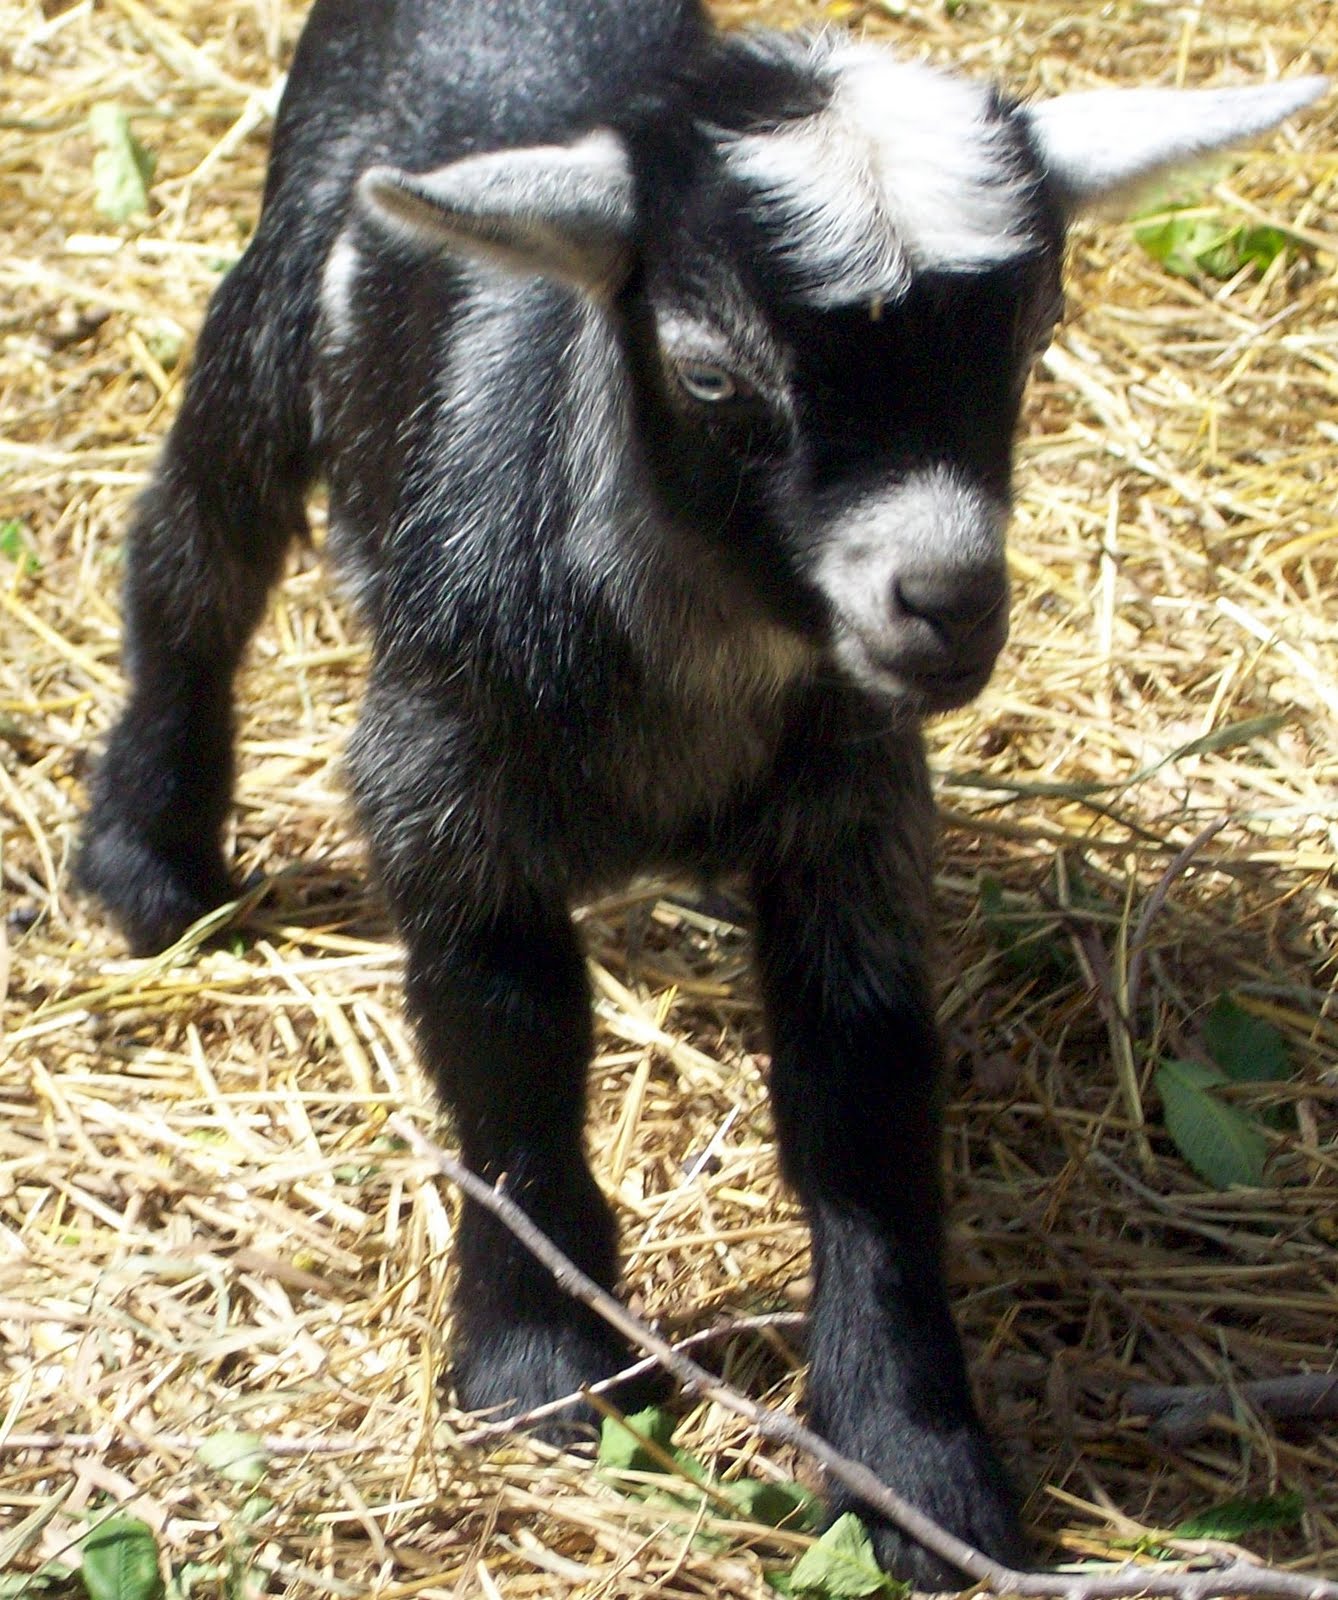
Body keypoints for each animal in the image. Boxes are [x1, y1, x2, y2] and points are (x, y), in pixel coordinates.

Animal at [78, 0, 1324, 1579]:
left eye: (1033, 333)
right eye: (717, 373)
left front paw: (909, 1458)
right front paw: (538, 1359)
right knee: (195, 550)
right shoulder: (443, 786)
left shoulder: (854, 815)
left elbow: (861, 1105)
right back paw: (145, 855)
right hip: (278, 289)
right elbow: (508, 1049)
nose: (947, 603)